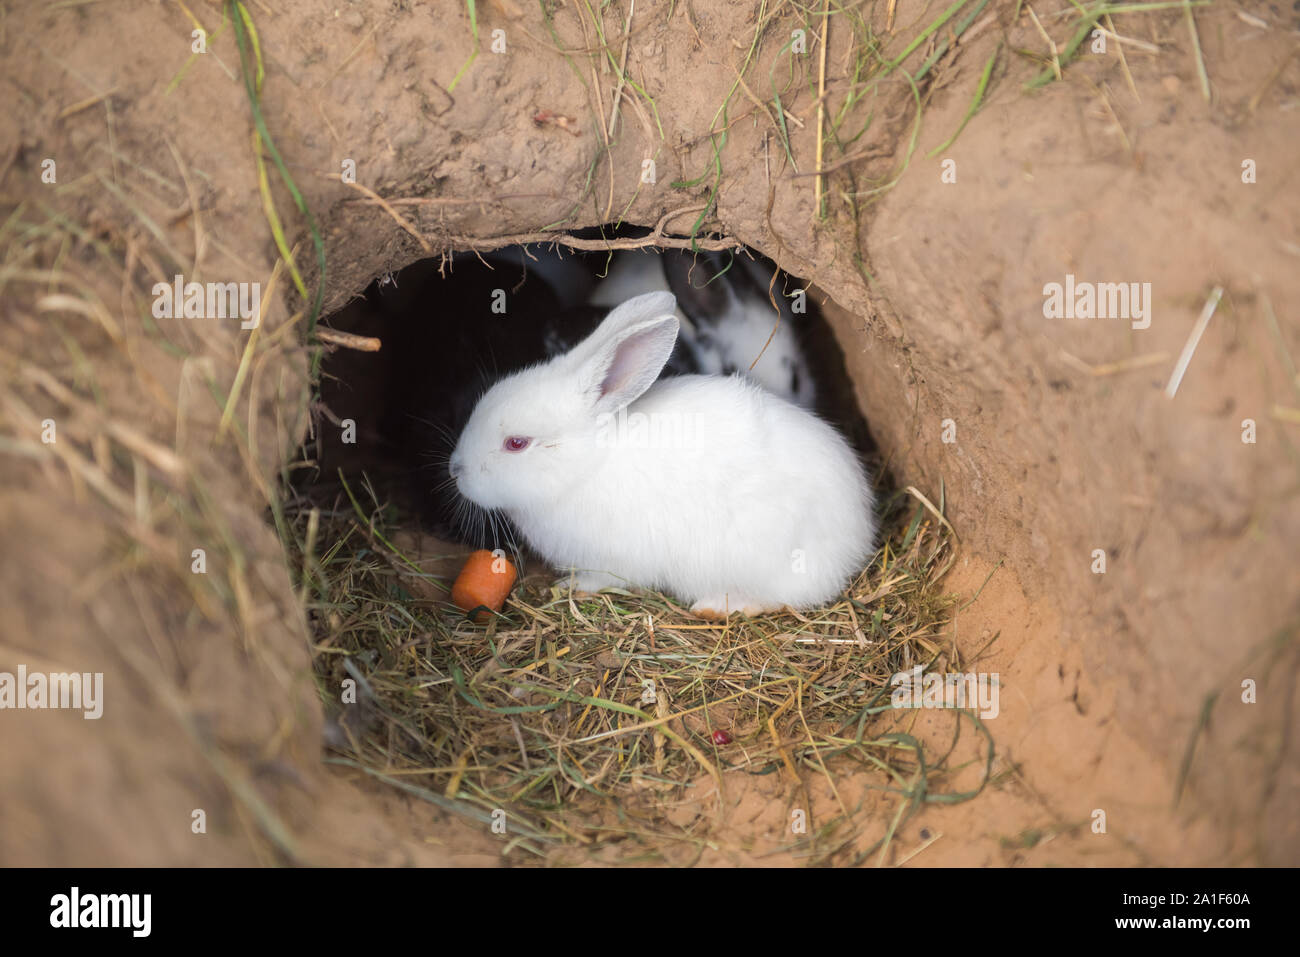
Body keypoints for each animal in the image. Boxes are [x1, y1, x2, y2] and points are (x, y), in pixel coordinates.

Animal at [448, 291, 877, 617]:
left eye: (516, 443)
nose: (456, 470)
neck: (584, 466)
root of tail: (859, 534)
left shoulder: (612, 562)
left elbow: (601, 579)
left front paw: (573, 585)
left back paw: (716, 606)